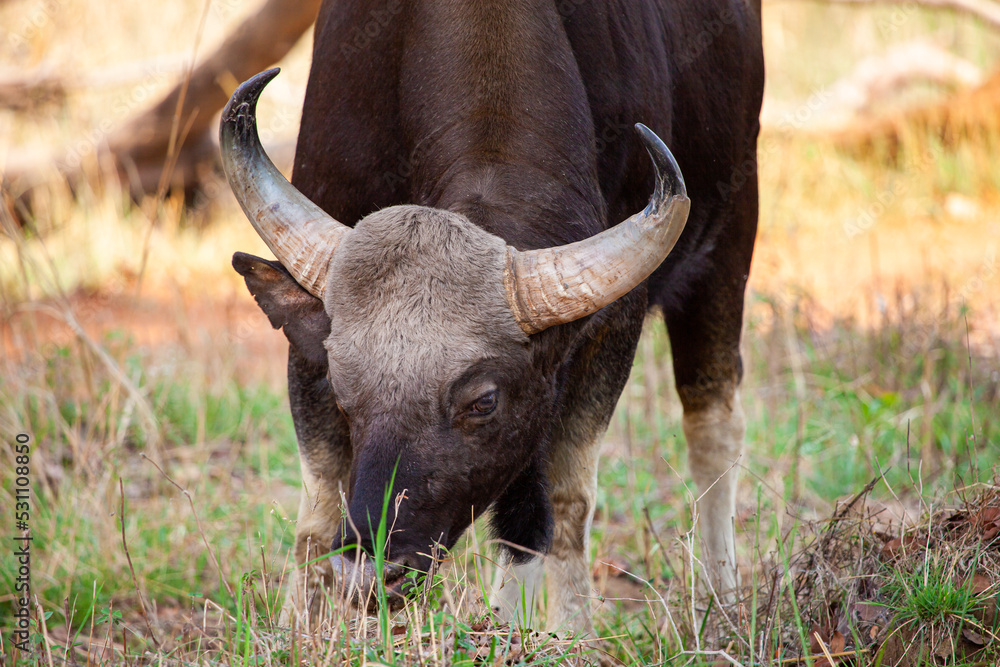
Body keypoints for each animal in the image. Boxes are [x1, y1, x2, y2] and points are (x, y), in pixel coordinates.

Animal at [222, 0, 764, 636]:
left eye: (482, 402)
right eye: (342, 387)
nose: (376, 571)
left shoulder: (607, 334)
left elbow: (557, 503)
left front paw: (550, 633)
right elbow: (318, 501)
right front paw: (298, 631)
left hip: (729, 240)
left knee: (712, 424)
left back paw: (722, 603)